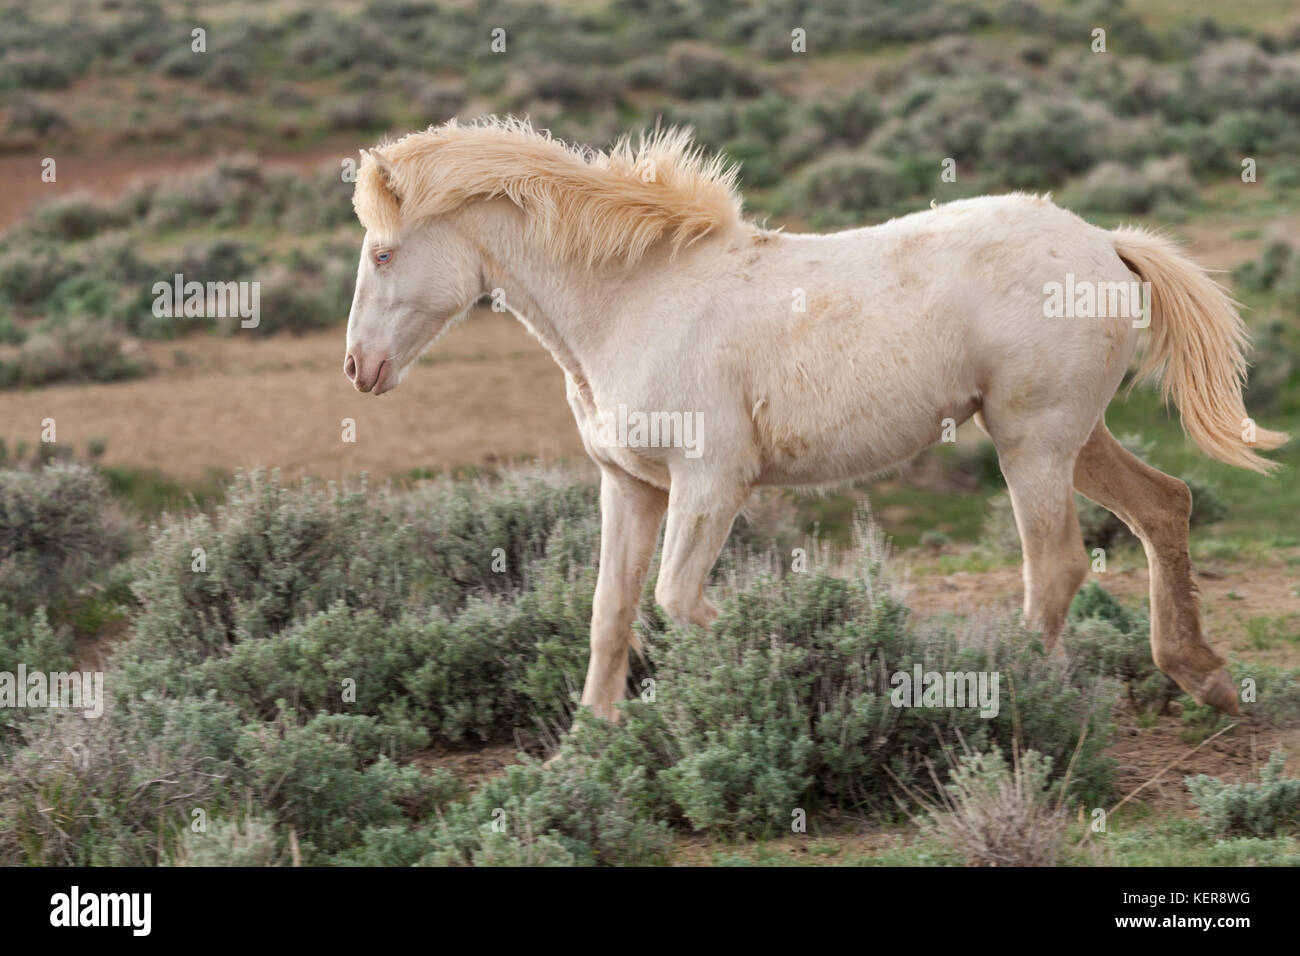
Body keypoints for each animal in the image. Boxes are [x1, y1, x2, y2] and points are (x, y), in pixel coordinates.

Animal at [343, 116, 1287, 720]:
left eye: (383, 253)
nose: (359, 369)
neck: (635, 300)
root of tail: (1107, 243)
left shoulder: (711, 482)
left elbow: (681, 603)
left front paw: (825, 673)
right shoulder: (631, 486)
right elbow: (612, 612)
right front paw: (591, 741)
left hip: (1034, 441)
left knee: (1055, 566)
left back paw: (1024, 699)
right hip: (1070, 436)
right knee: (1164, 505)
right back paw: (1206, 679)